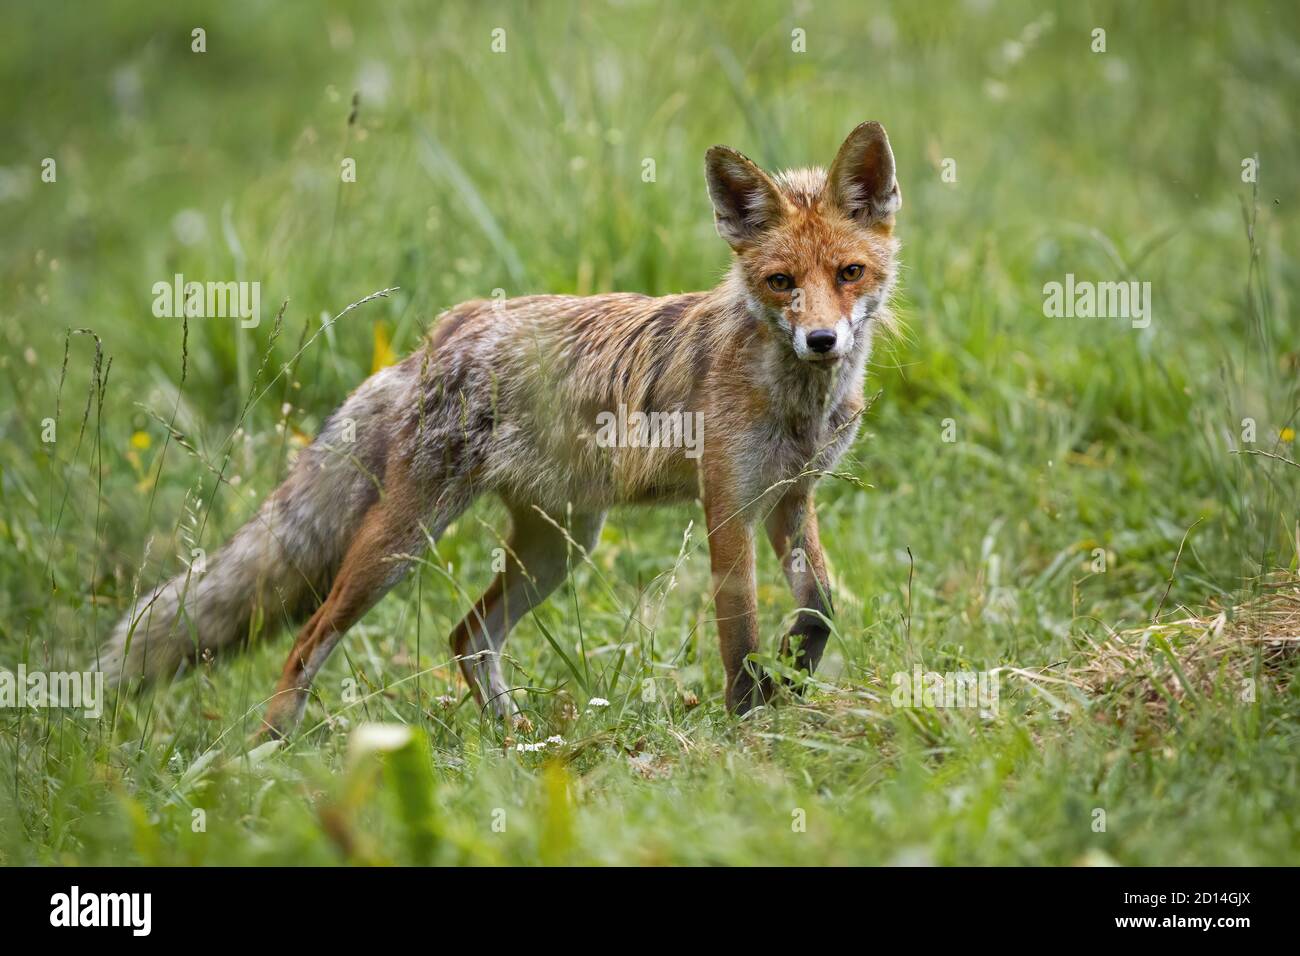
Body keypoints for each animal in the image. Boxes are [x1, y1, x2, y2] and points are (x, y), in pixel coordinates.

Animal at [96, 121, 903, 738]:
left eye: (850, 273)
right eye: (780, 283)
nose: (822, 341)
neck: (798, 403)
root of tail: (443, 333)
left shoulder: (790, 498)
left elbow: (821, 607)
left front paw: (794, 675)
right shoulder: (727, 506)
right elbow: (738, 637)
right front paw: (747, 726)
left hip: (559, 547)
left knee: (467, 637)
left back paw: (516, 741)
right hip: (404, 543)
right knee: (308, 637)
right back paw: (270, 752)